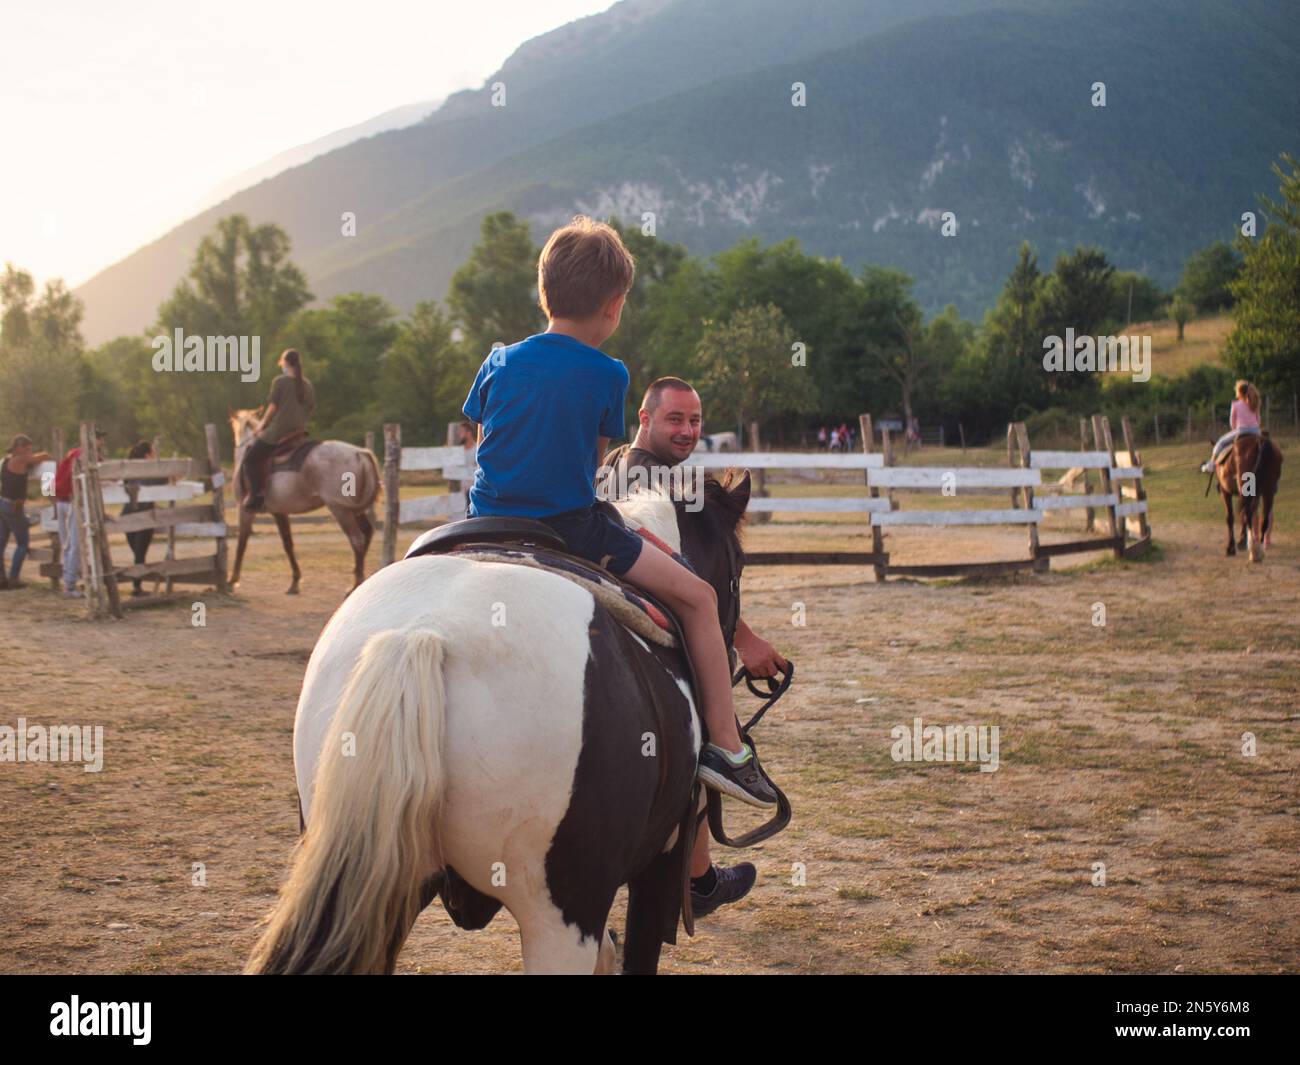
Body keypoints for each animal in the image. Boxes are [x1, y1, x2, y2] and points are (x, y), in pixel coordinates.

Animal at [228, 409, 381, 593]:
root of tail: (360, 453)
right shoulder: (279, 512)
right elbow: (288, 544)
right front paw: (295, 581)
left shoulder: (245, 510)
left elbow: (241, 543)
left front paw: (232, 580)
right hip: (355, 510)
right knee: (367, 533)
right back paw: (359, 578)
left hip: (340, 509)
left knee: (357, 540)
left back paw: (355, 583)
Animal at [1213, 431, 1283, 562]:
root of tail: (1260, 441)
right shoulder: (1256, 495)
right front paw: (1242, 541)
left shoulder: (1225, 492)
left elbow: (1230, 517)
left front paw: (1231, 548)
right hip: (1268, 491)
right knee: (1263, 518)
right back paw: (1259, 550)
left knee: (1248, 514)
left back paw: (1254, 552)